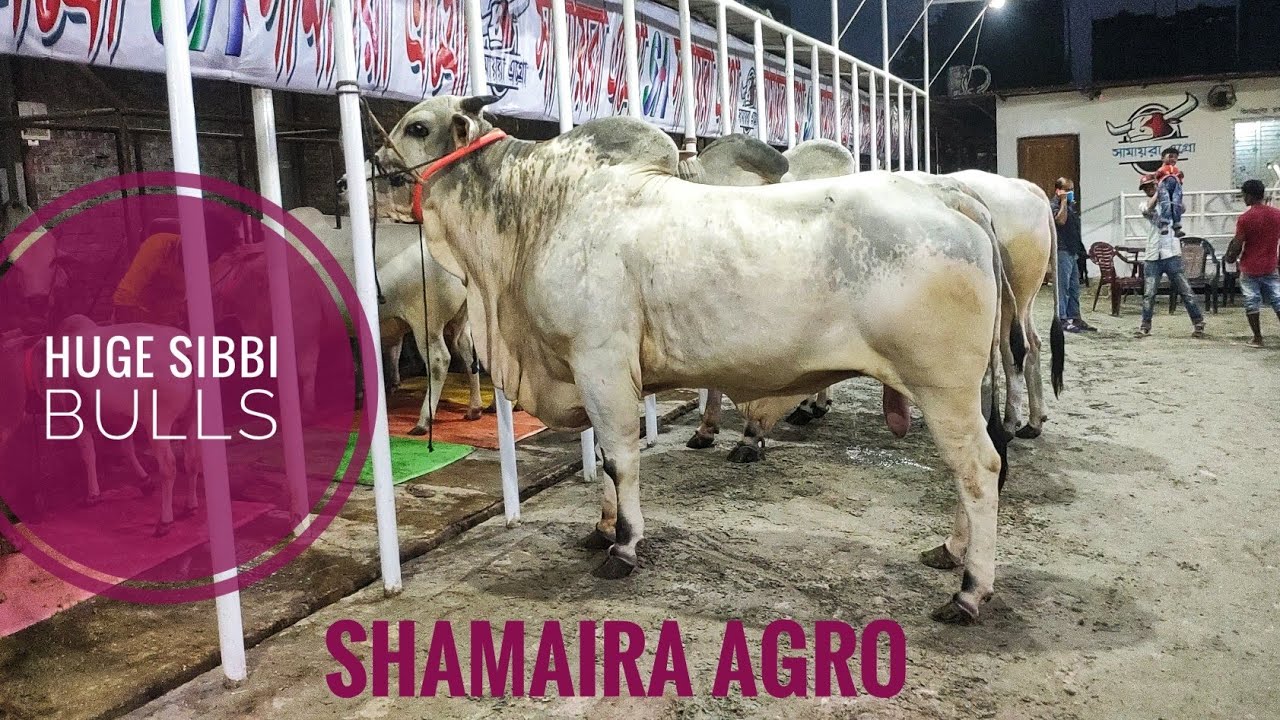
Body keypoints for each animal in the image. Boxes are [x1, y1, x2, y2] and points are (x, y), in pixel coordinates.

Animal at [369, 95, 1010, 623]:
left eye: (418, 126)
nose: (369, 169)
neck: (536, 216)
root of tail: (945, 192)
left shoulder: (601, 366)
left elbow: (620, 458)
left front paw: (624, 545)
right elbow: (603, 461)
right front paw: (602, 529)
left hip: (944, 388)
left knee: (979, 471)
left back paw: (969, 591)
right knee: (968, 472)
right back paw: (950, 552)